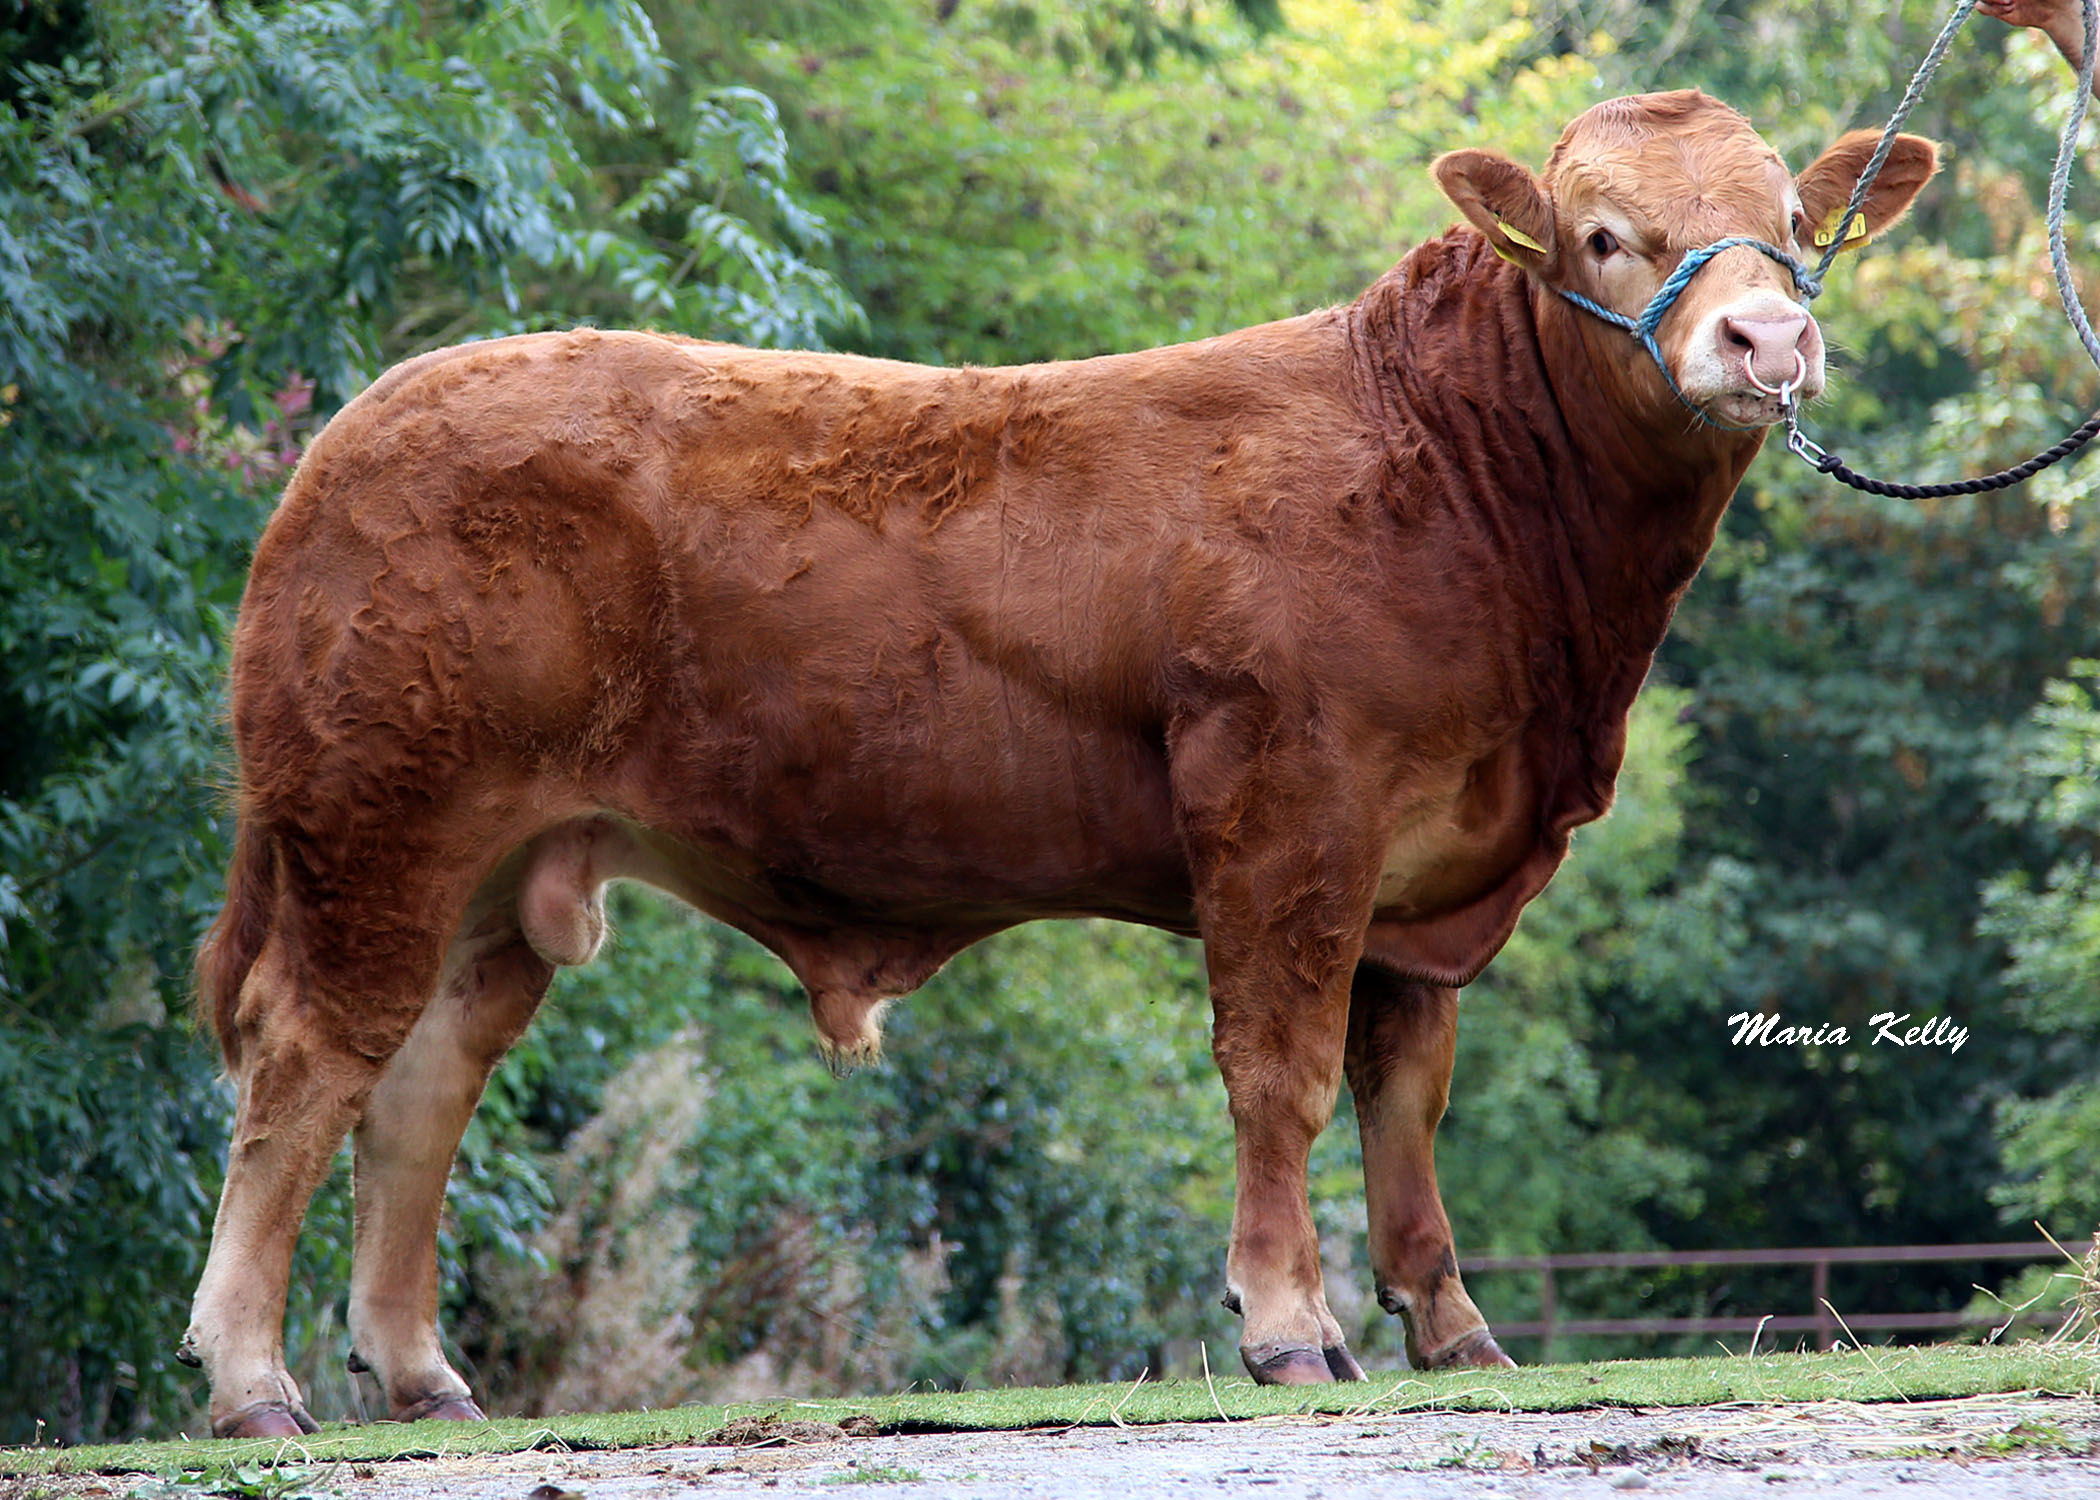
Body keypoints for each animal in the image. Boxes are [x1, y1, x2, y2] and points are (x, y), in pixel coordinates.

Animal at [181, 90, 1936, 1437]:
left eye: (1793, 223)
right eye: (1602, 237)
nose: (1766, 333)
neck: (1470, 492)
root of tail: (364, 426)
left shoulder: (1426, 869)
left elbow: (1407, 1100)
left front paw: (1454, 1332)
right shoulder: (1291, 812)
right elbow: (1283, 1076)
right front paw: (1289, 1330)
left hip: (499, 869)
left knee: (418, 1087)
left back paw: (420, 1376)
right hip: (379, 823)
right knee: (304, 1066)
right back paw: (253, 1382)